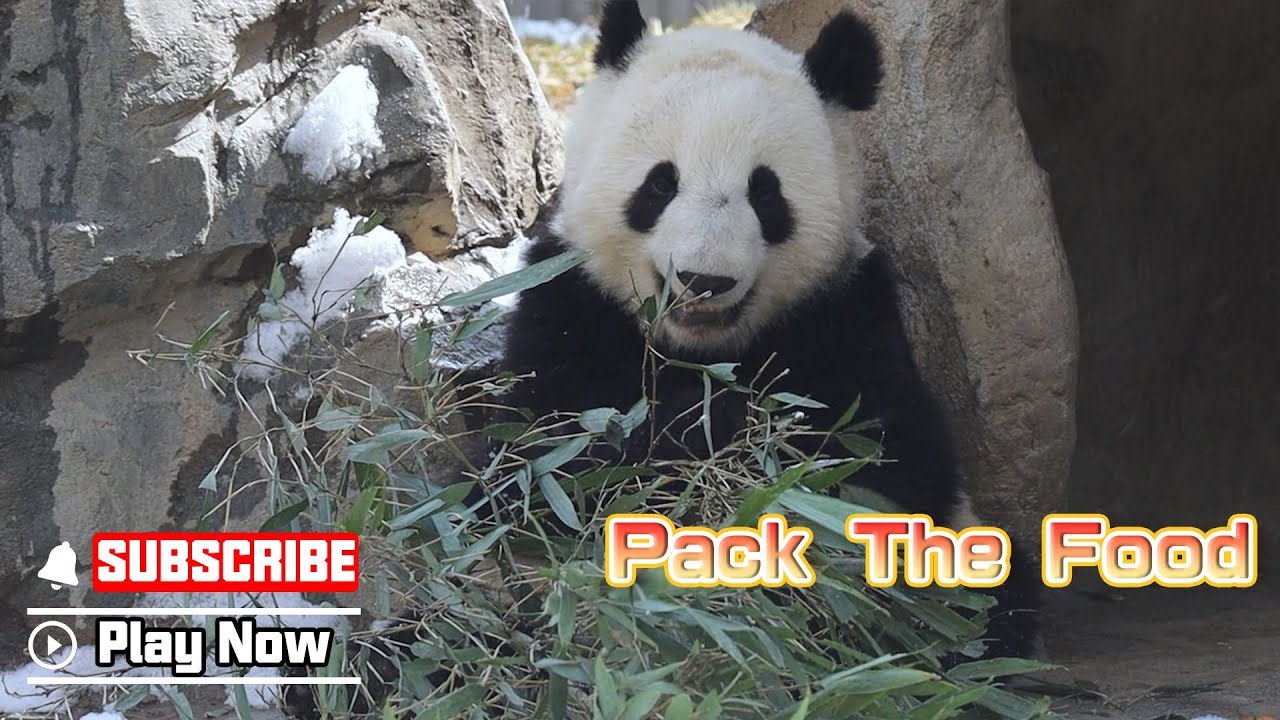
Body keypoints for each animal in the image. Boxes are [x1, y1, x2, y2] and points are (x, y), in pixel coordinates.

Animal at [496, 0, 1040, 659]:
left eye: (765, 193)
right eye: (661, 183)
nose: (704, 279)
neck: (701, 349)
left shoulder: (848, 314)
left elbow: (883, 468)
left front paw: (729, 432)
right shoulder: (568, 301)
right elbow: (541, 463)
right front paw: (690, 430)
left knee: (996, 599)